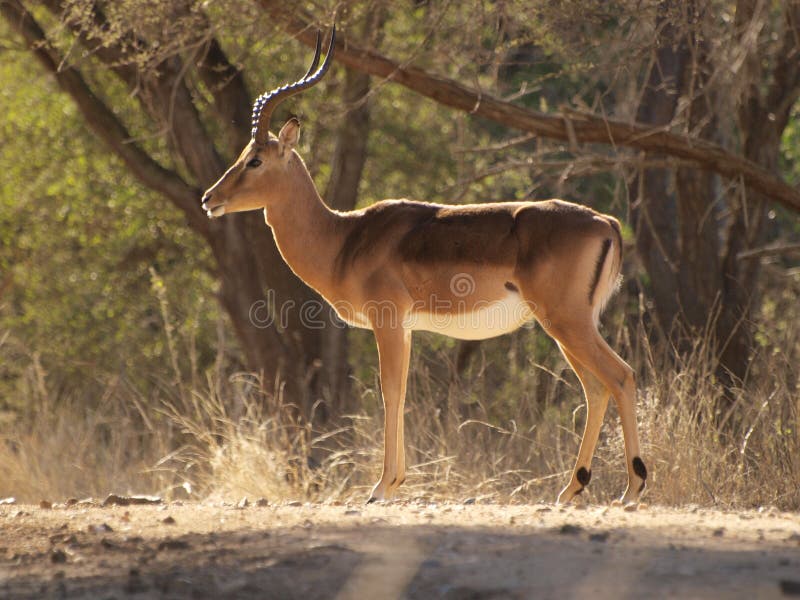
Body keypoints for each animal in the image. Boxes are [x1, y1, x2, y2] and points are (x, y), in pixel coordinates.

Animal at [201, 28, 647, 505]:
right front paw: (392, 482)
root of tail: (607, 223)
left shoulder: (388, 320)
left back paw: (632, 488)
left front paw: (381, 487)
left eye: (255, 160)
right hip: (567, 327)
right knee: (596, 388)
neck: (343, 238)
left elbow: (390, 392)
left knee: (621, 376)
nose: (209, 198)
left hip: (566, 323)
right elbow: (399, 393)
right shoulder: (407, 327)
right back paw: (571, 489)